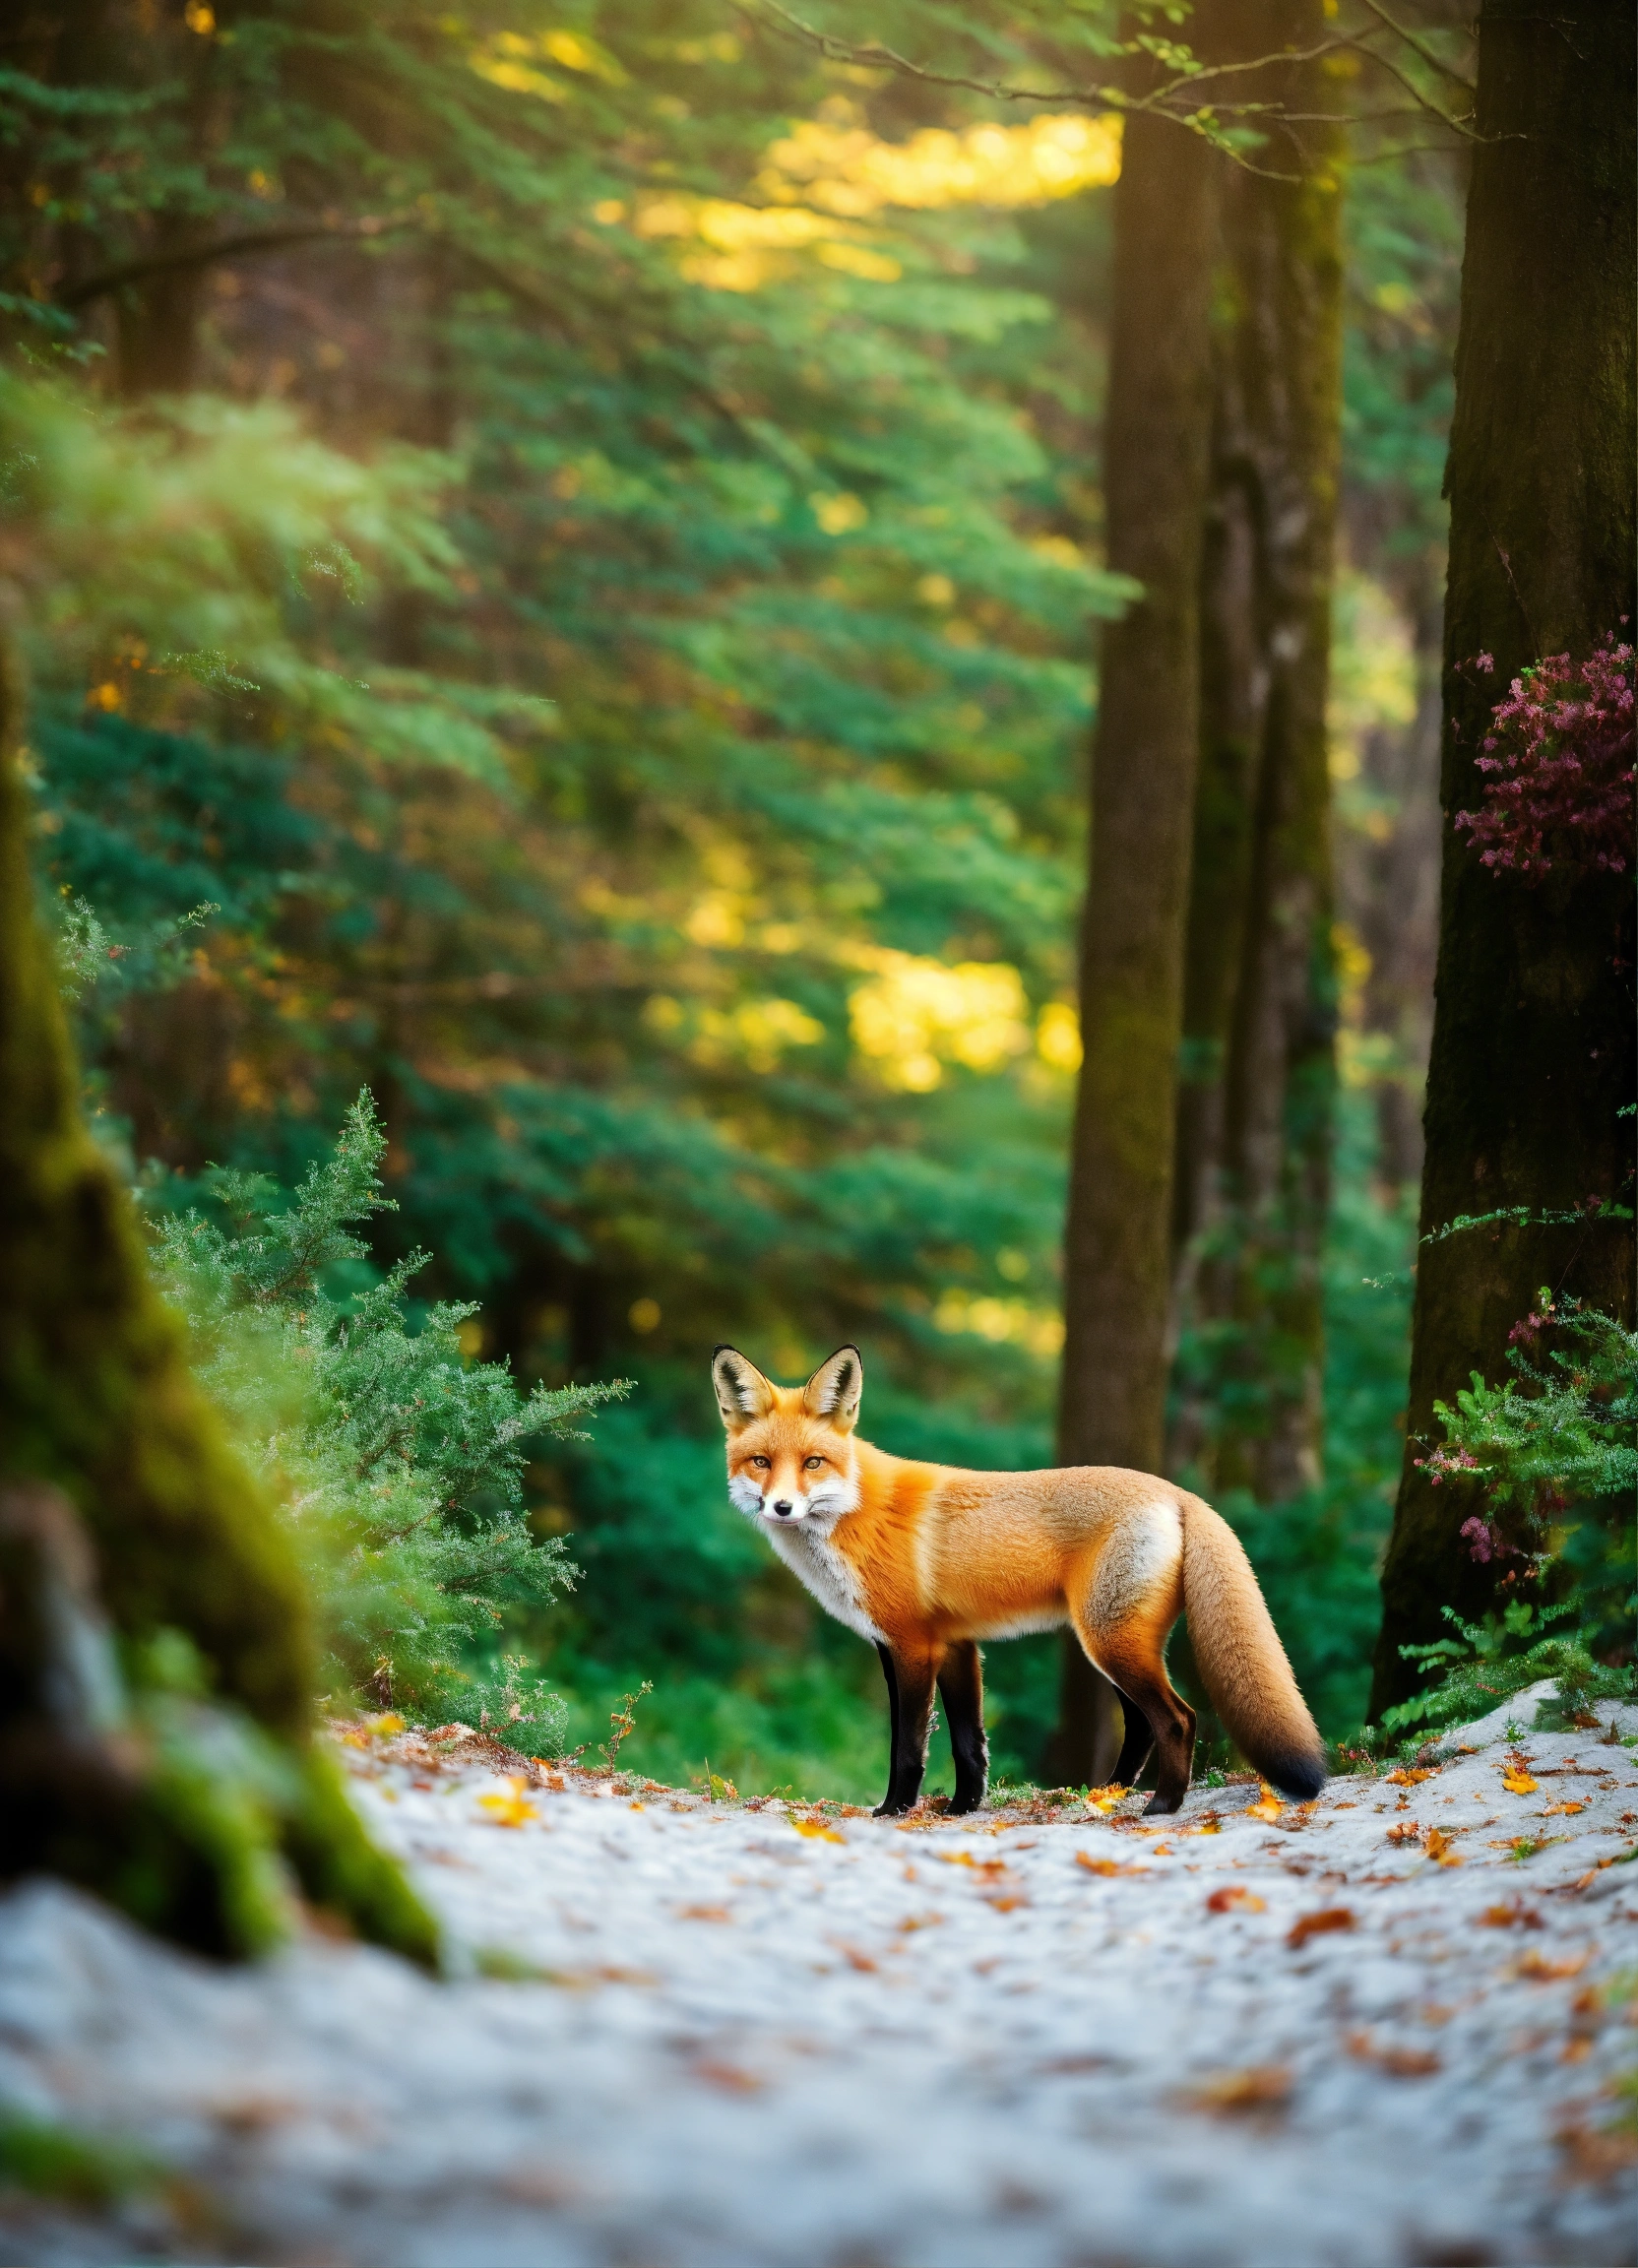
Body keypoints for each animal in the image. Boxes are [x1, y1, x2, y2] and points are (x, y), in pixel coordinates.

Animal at [712, 1341, 1327, 1818]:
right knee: (1142, 1724)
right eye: (762, 1463)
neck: (855, 1511)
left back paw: (1162, 1805)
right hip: (1110, 1646)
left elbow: (907, 1746)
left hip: (1110, 1644)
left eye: (812, 1463)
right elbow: (970, 1745)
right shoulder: (954, 1644)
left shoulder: (911, 1645)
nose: (782, 1507)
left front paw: (894, 1810)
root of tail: (1180, 1494)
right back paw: (1108, 1793)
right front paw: (962, 1809)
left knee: (1178, 1718)